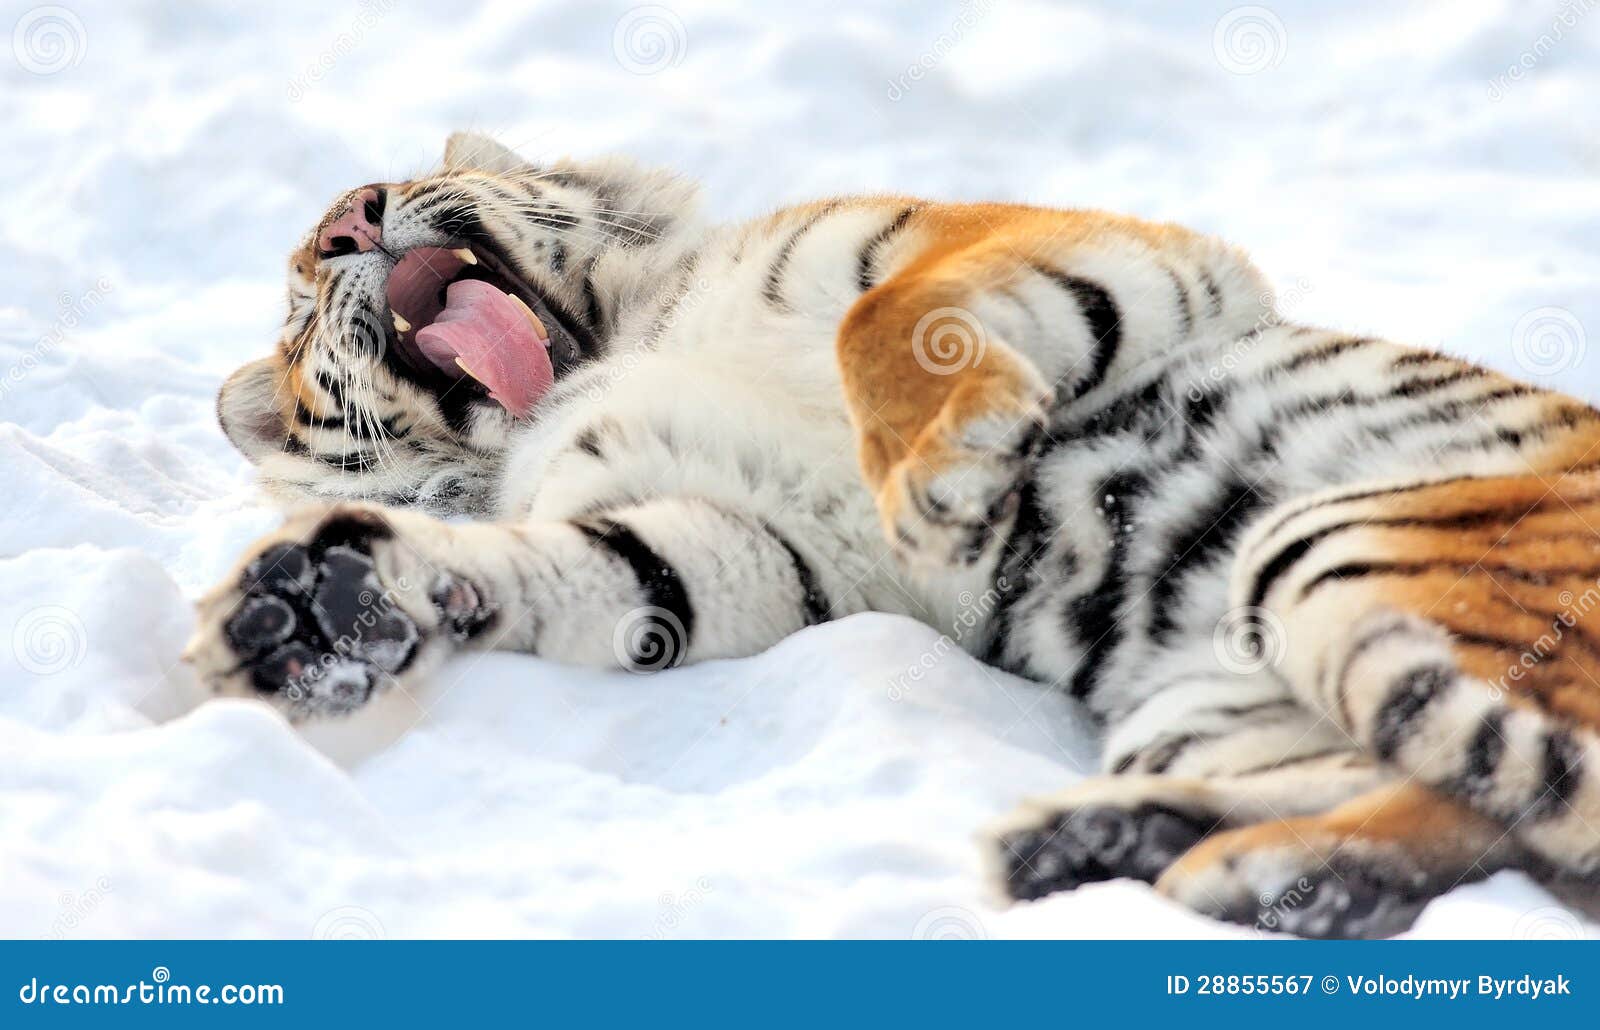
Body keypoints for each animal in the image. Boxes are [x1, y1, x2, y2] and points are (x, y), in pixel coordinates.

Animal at [185, 131, 1600, 938]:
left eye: (409, 183)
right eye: (301, 308)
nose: (349, 218)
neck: (604, 344)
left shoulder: (1032, 243)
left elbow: (889, 326)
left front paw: (946, 481)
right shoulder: (758, 547)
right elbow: (596, 572)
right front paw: (319, 599)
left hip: (1346, 553)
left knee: (1524, 800)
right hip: (1217, 690)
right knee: (1479, 811)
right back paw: (1138, 852)